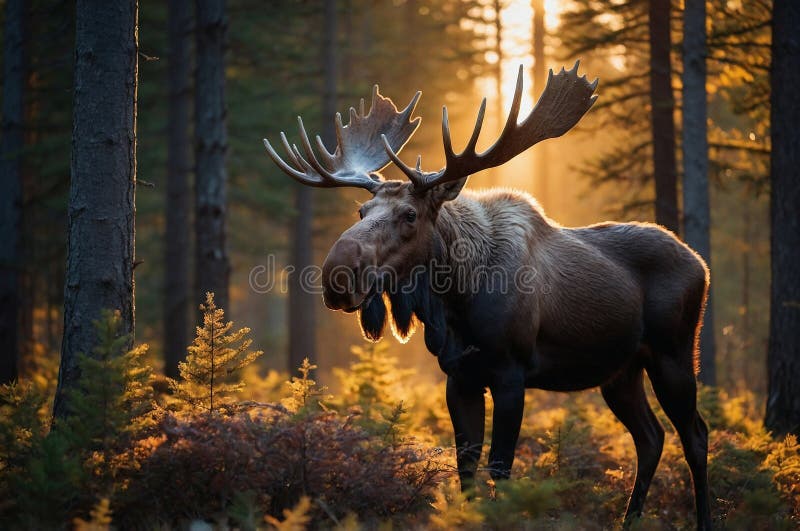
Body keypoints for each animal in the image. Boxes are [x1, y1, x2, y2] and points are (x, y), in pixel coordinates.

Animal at [263, 62, 712, 530]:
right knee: (651, 437)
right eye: (361, 211)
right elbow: (466, 469)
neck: (455, 303)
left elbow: (501, 468)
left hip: (673, 354)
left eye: (409, 214)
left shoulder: (511, 374)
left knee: (695, 435)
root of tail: (700, 263)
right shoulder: (459, 376)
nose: (337, 274)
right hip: (621, 371)